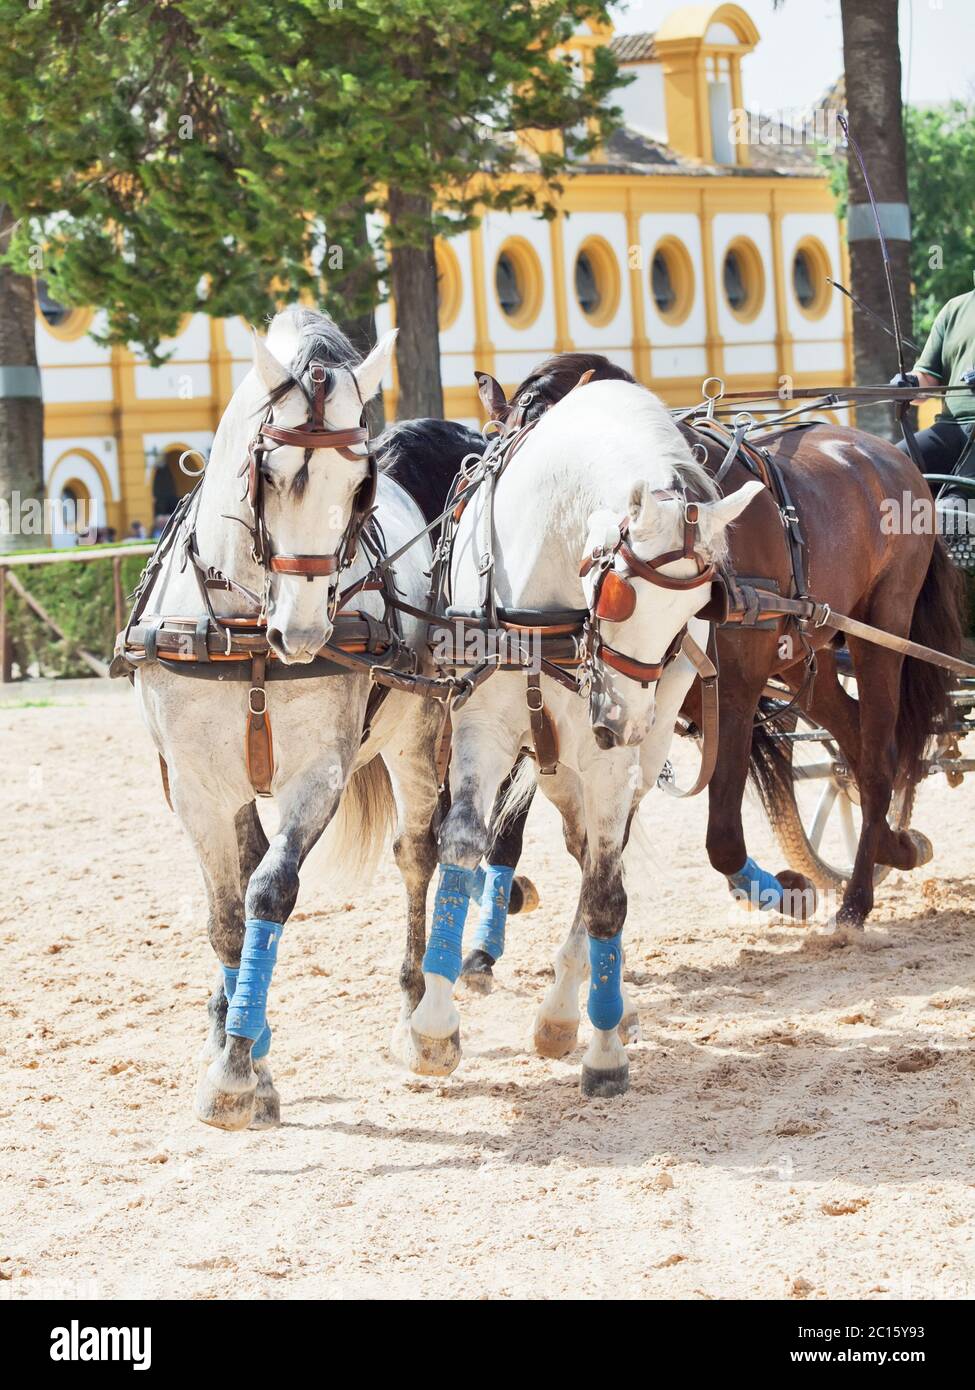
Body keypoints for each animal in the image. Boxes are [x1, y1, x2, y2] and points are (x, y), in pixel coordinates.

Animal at [407, 377, 763, 1095]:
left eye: (699, 607)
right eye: (620, 595)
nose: (624, 719)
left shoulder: (612, 755)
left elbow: (605, 890)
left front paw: (600, 1047)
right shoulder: (483, 726)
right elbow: (462, 846)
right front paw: (434, 1026)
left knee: (605, 853)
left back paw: (575, 1011)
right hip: (558, 759)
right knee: (574, 843)